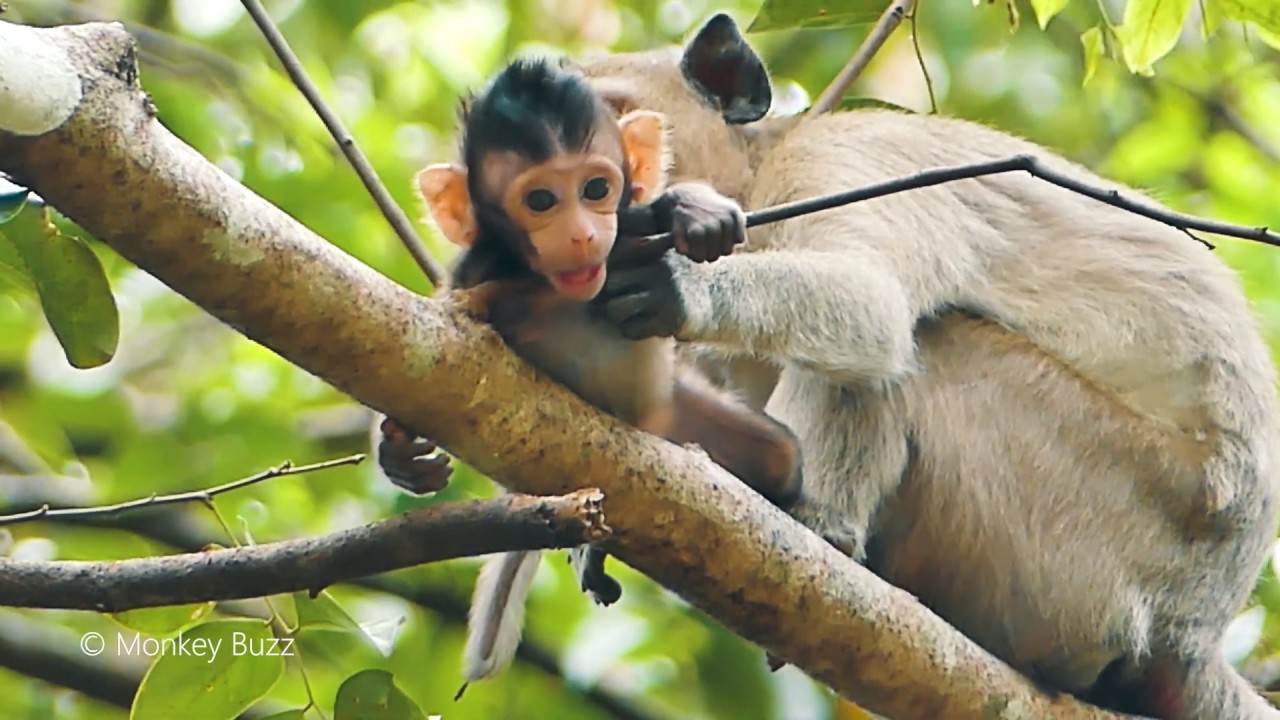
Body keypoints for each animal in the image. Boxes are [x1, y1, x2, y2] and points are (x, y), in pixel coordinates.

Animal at [375, 56, 804, 687]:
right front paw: (399, 449)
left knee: (780, 458)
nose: (581, 234)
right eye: (541, 201)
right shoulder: (475, 273)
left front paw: (691, 209)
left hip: (673, 413)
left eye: (596, 189)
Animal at [574, 15, 1280, 720]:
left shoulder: (835, 166)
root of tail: (1194, 634)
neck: (762, 163)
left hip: (1114, 526)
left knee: (920, 342)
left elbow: (874, 307)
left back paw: (823, 529)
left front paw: (679, 285)